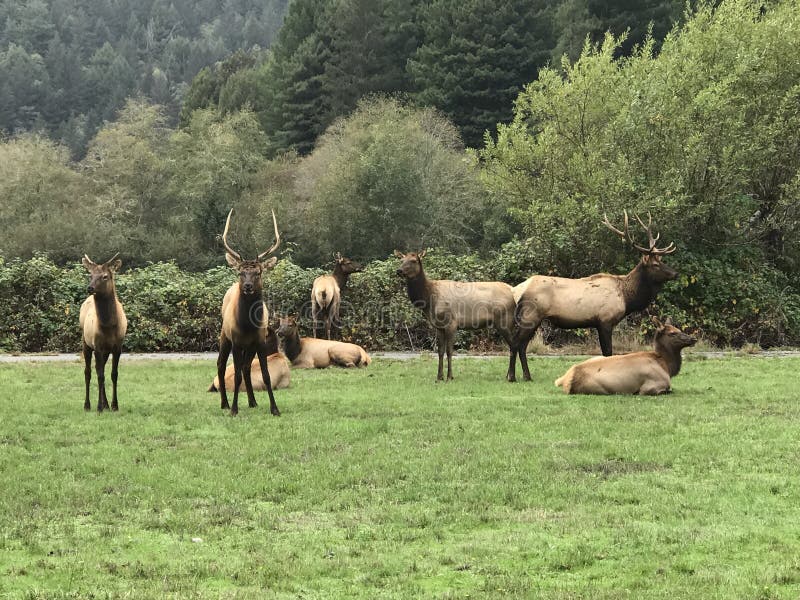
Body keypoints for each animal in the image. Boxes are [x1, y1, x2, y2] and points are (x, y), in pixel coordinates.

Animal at [80, 254, 127, 412]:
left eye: (105, 276)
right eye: (90, 274)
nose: (90, 287)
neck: (109, 326)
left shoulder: (118, 347)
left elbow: (113, 374)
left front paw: (114, 405)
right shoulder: (98, 346)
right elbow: (100, 376)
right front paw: (99, 407)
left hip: (105, 350)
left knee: (99, 369)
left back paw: (105, 404)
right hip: (86, 342)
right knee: (88, 372)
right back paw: (88, 405)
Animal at [216, 208, 282, 416]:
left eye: (258, 272)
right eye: (241, 272)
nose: (247, 286)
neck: (246, 325)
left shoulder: (260, 341)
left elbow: (266, 375)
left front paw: (275, 409)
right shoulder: (236, 342)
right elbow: (236, 375)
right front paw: (234, 409)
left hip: (250, 346)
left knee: (246, 367)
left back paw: (253, 401)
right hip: (224, 335)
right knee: (221, 365)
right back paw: (224, 403)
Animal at [394, 250, 519, 382]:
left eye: (414, 260)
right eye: (401, 260)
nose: (399, 270)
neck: (428, 300)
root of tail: (514, 291)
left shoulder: (452, 323)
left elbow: (449, 351)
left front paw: (450, 376)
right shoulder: (438, 326)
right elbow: (440, 351)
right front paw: (439, 377)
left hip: (504, 320)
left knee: (514, 345)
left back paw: (511, 376)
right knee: (512, 345)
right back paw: (508, 375)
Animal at [513, 211, 678, 381]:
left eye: (662, 261)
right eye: (655, 264)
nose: (675, 273)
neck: (627, 298)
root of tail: (517, 290)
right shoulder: (605, 320)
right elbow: (608, 352)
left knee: (521, 345)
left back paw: (524, 376)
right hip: (531, 315)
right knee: (516, 343)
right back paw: (514, 376)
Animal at [554, 317, 696, 394]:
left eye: (679, 329)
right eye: (672, 333)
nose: (693, 338)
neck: (666, 366)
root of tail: (565, 379)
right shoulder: (652, 387)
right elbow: (669, 390)